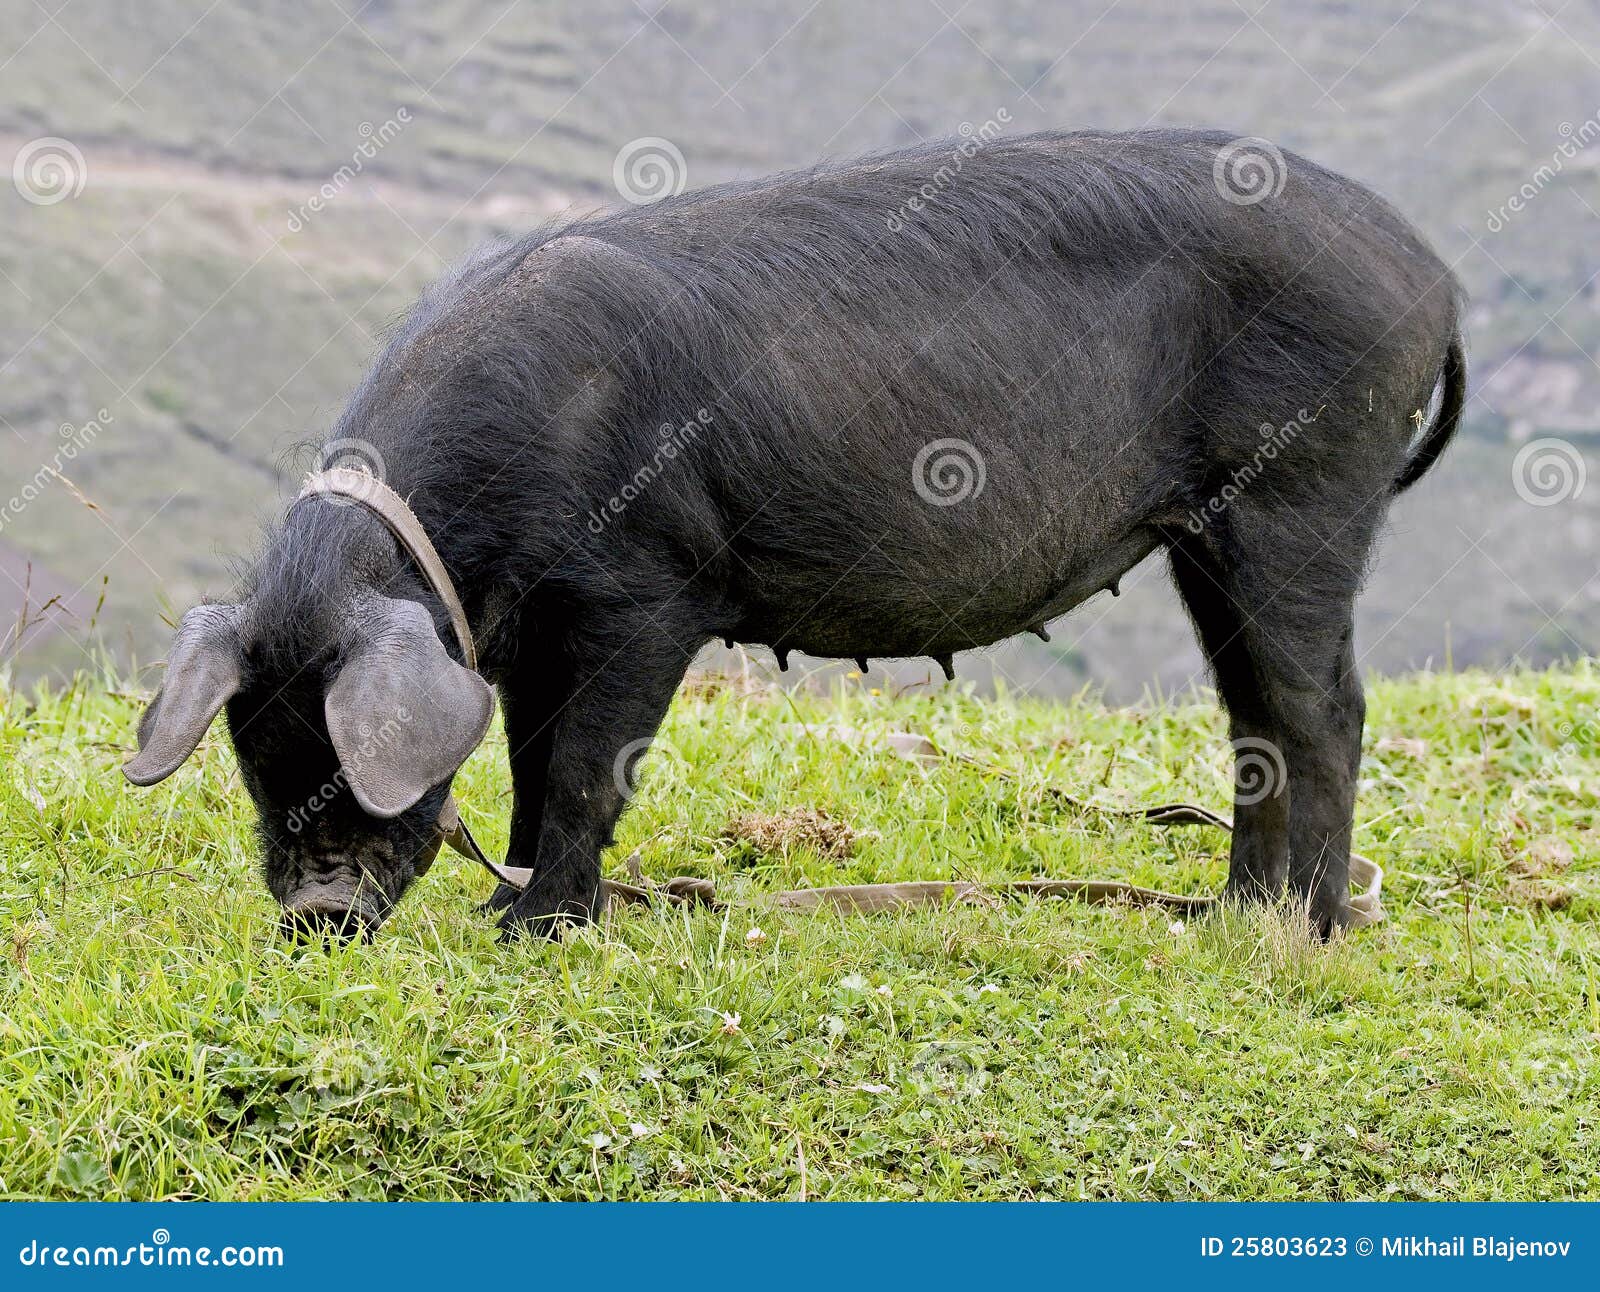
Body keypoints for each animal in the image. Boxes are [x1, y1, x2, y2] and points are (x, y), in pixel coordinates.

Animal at [124, 128, 1464, 941]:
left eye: (344, 758)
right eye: (256, 756)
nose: (313, 918)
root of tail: (1430, 275)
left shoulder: (648, 586)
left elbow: (586, 761)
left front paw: (538, 925)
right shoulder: (524, 635)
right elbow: (525, 755)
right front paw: (517, 900)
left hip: (1307, 483)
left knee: (1323, 706)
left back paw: (1310, 929)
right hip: (1207, 533)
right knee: (1251, 712)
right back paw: (1233, 914)